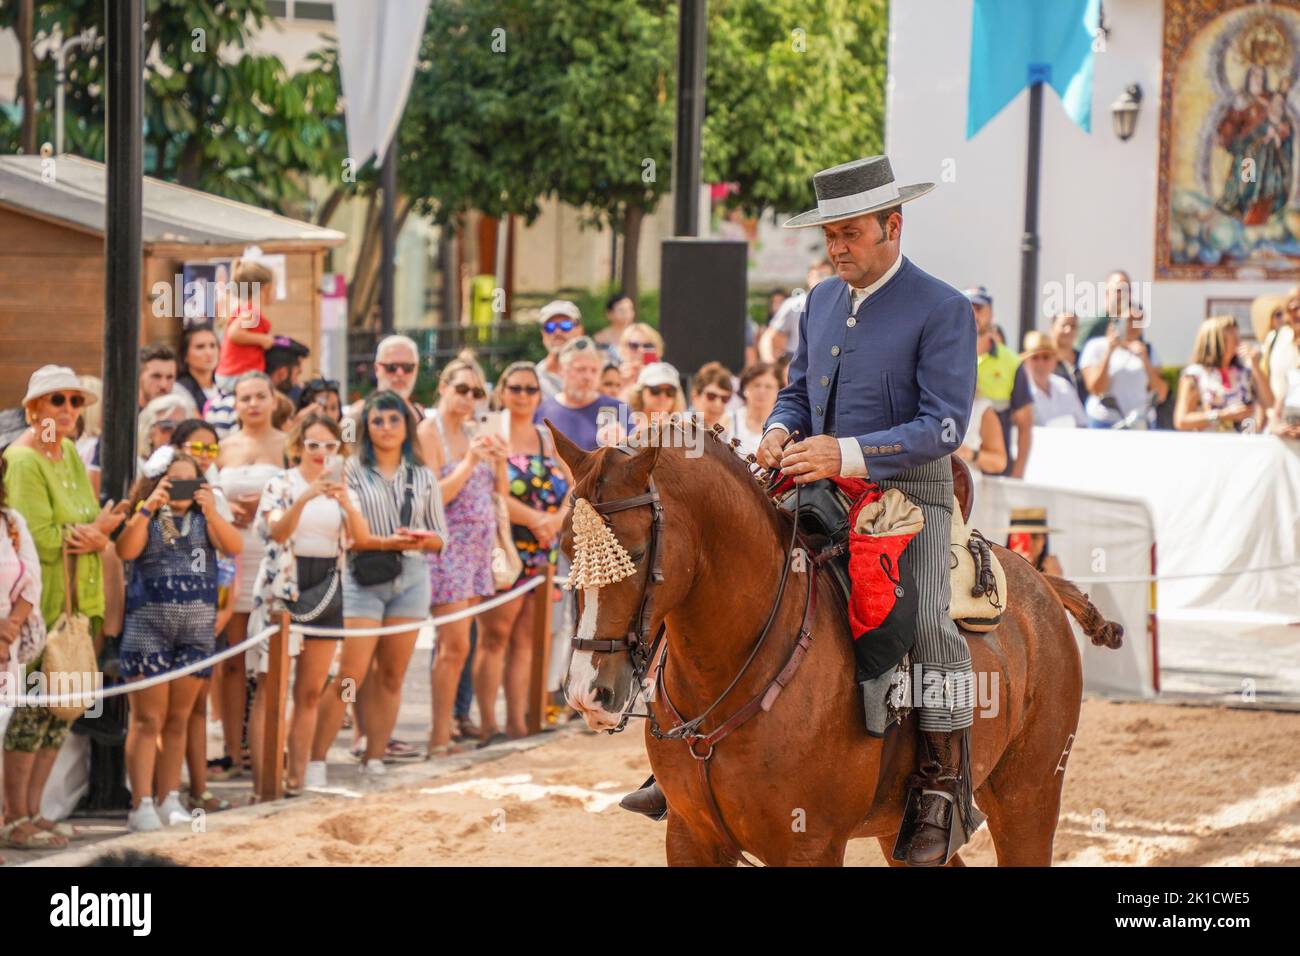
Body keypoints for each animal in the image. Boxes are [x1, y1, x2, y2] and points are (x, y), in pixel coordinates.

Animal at [553, 421, 1123, 868]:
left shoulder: (811, 845)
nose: (586, 691)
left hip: (1028, 797)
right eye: (564, 546)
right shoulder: (691, 836)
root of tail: (1040, 580)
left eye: (634, 551)